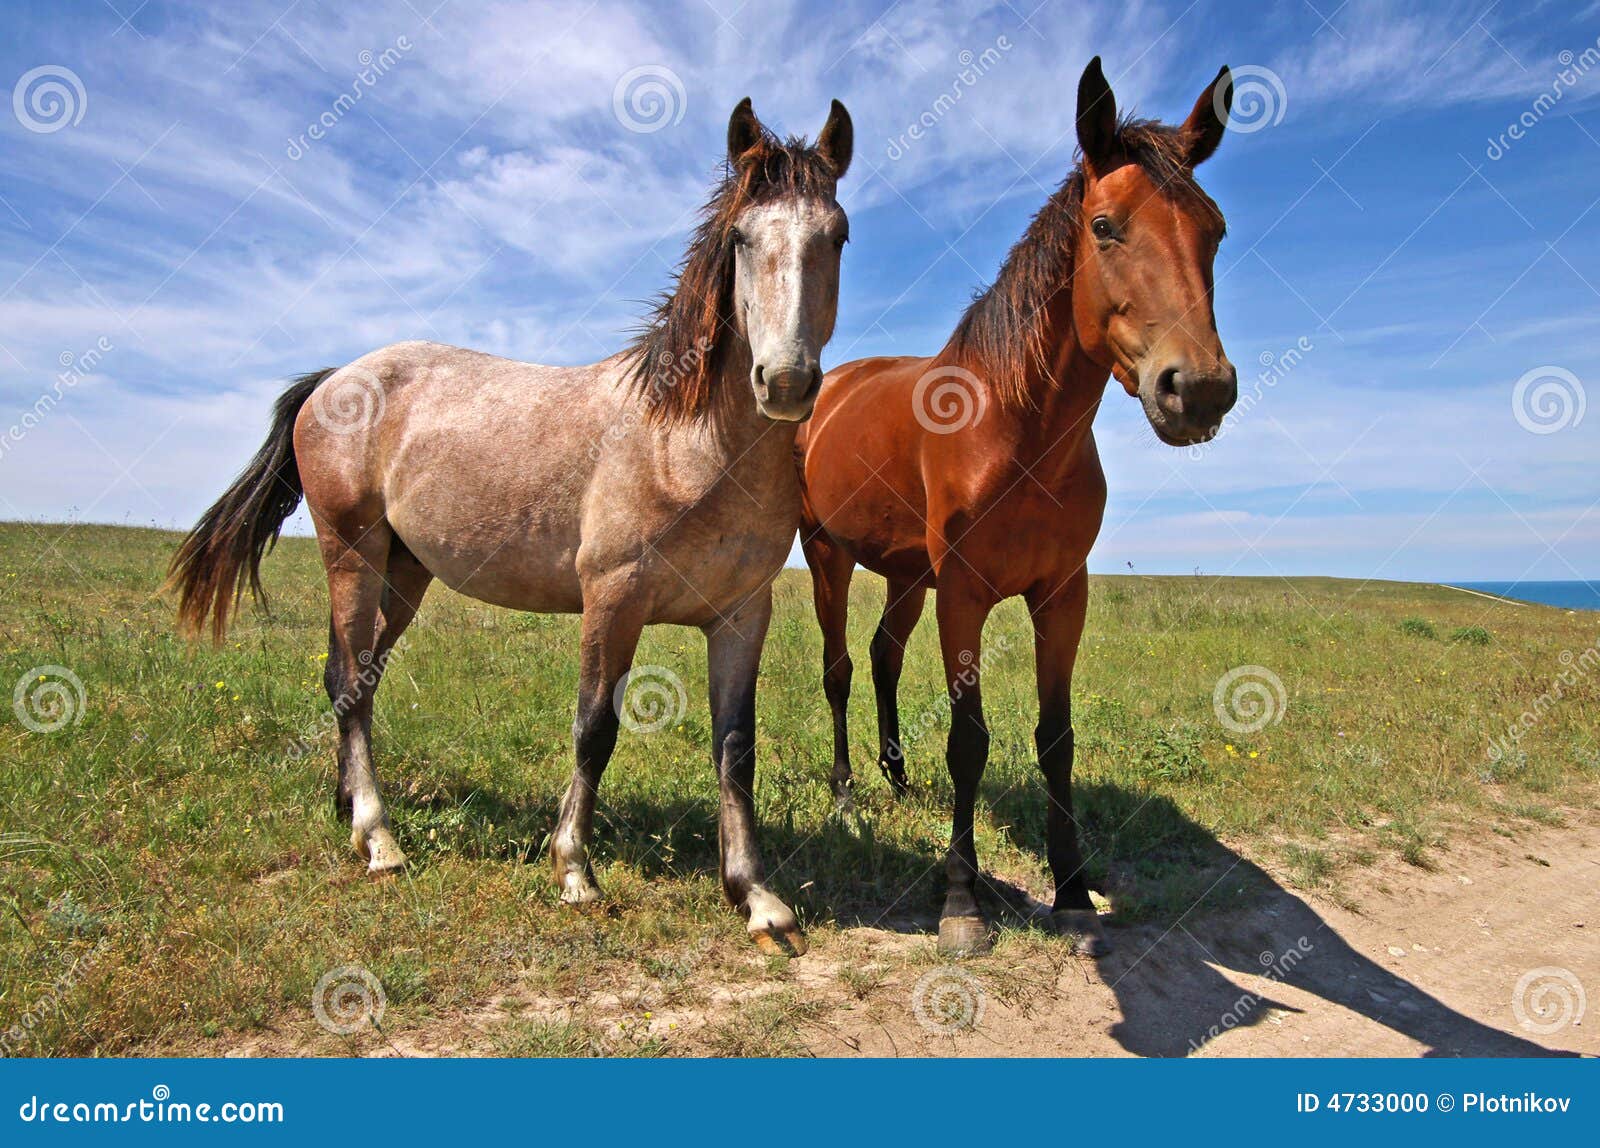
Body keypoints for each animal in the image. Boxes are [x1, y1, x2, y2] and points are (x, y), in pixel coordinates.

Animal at [167, 98, 853, 956]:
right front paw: (574, 872)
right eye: (741, 239)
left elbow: (736, 749)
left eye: (837, 234)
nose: (785, 382)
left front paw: (757, 898)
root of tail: (334, 380)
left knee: (349, 676)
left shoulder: (740, 615)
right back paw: (380, 840)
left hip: (403, 572)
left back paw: (346, 811)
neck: (687, 442)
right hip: (350, 552)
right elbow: (594, 729)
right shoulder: (613, 600)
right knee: (351, 683)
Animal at [795, 58, 1237, 958]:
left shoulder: (1061, 594)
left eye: (1214, 231)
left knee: (883, 657)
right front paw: (962, 900)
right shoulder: (964, 594)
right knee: (841, 669)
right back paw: (850, 794)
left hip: (906, 577)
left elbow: (1054, 740)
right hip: (829, 557)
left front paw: (1071, 890)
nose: (1199, 388)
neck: (1015, 430)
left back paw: (897, 778)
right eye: (1104, 227)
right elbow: (970, 740)